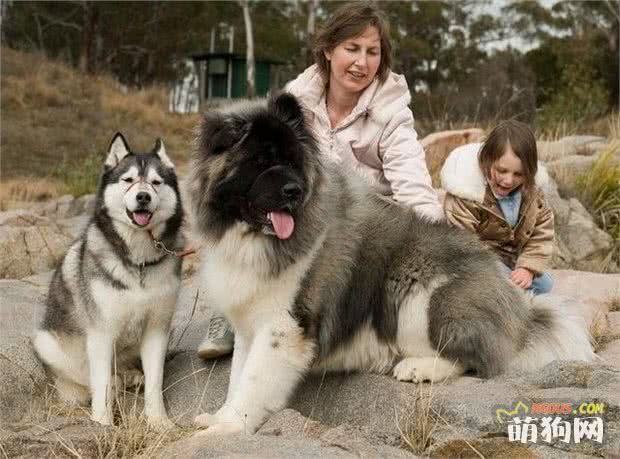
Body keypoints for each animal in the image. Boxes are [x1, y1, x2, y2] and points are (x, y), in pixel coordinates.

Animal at [33, 134, 183, 428]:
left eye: (156, 182)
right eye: (128, 180)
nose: (143, 196)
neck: (138, 262)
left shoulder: (157, 329)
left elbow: (155, 382)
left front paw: (158, 421)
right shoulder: (101, 332)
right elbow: (100, 383)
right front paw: (102, 423)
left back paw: (130, 375)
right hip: (45, 342)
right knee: (87, 379)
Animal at [190, 93, 596, 434]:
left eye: (292, 162)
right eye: (260, 163)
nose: (294, 191)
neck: (252, 236)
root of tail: (520, 309)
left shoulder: (283, 327)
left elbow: (254, 381)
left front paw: (228, 427)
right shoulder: (250, 323)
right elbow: (238, 376)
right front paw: (220, 417)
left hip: (416, 294)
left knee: (475, 357)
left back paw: (419, 368)